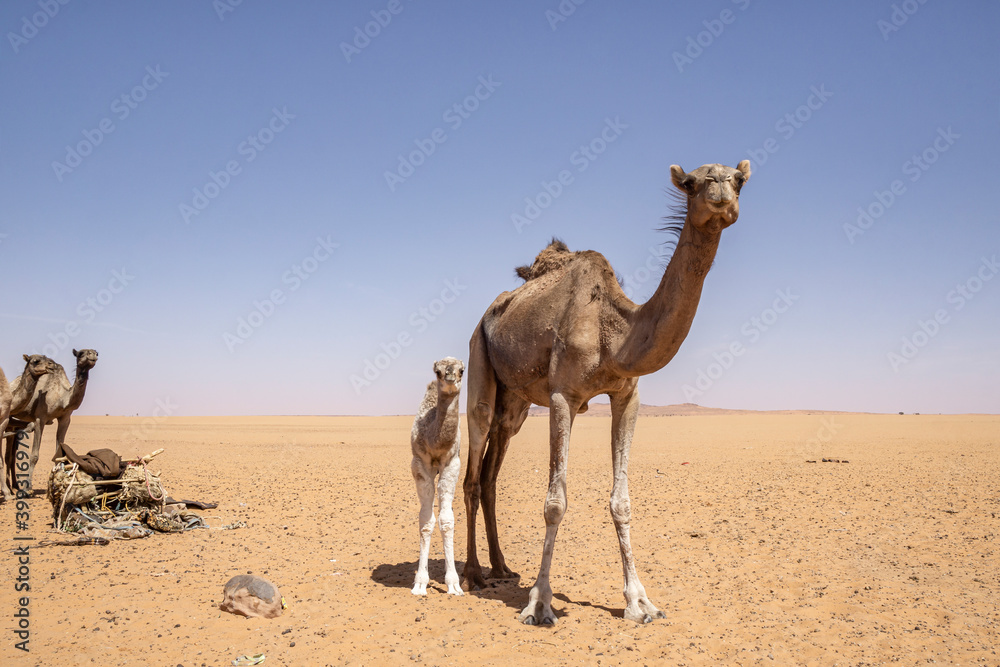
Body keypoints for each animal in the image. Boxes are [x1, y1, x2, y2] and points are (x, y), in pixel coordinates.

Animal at [3, 355, 58, 500]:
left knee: (11, 455)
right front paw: (7, 492)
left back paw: (14, 486)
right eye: (35, 361)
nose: (52, 365)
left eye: (46, 358)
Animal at [12, 348, 98, 494]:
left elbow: (59, 453)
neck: (62, 398)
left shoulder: (65, 419)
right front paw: (28, 488)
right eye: (81, 353)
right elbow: (34, 455)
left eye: (96, 352)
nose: (93, 355)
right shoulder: (40, 418)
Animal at [462, 161, 751, 625]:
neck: (613, 332)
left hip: (517, 403)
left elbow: (621, 501)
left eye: (739, 180)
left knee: (492, 470)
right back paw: (472, 574)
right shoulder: (563, 396)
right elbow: (555, 501)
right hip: (479, 357)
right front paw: (539, 604)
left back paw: (502, 567)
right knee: (475, 459)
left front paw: (640, 602)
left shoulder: (627, 397)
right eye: (693, 182)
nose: (721, 189)